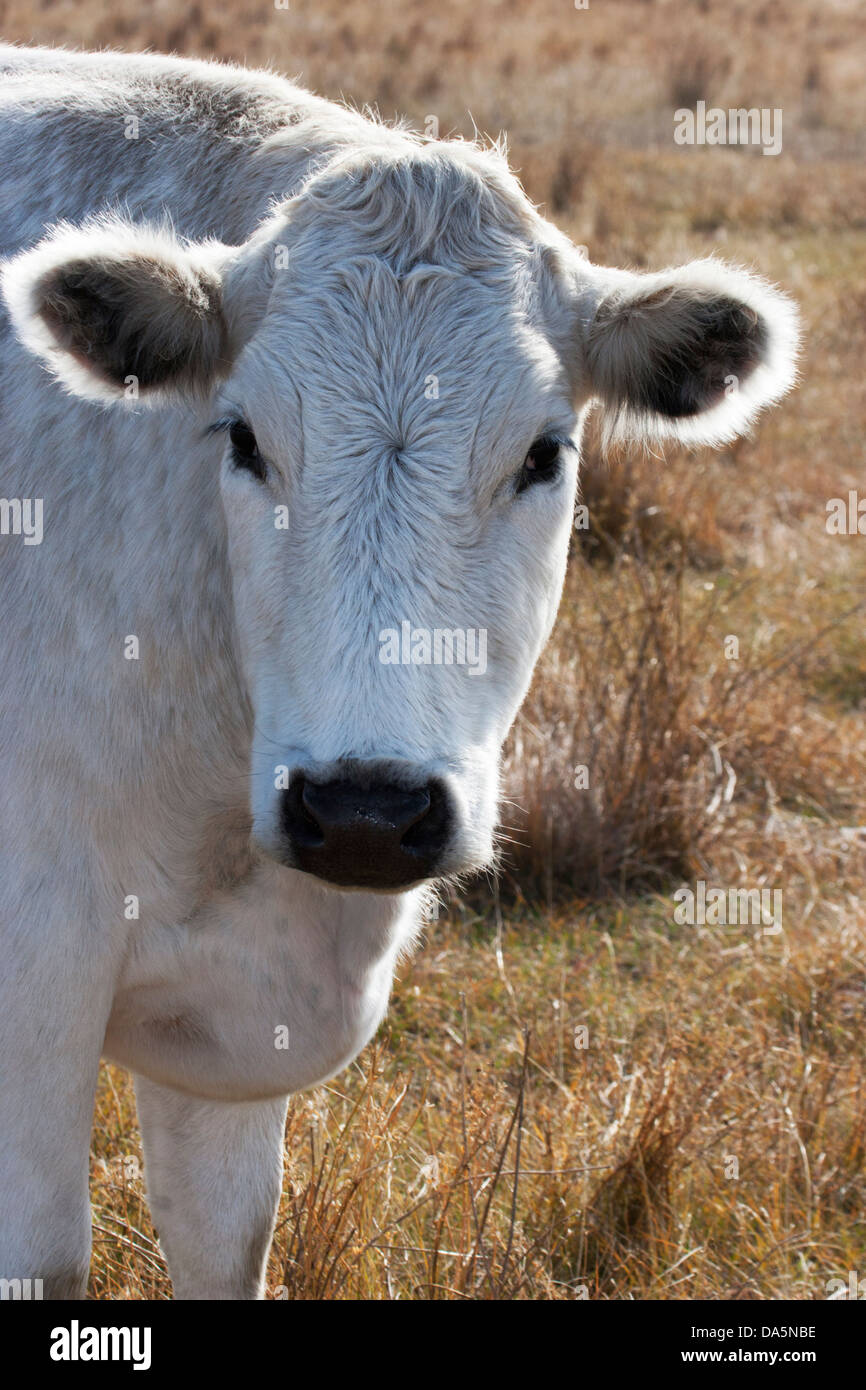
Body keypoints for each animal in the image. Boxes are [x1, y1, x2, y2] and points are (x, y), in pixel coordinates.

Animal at [0, 44, 799, 1300]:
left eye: (543, 453)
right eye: (242, 438)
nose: (364, 809)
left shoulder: (229, 1045)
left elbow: (227, 1243)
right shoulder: (34, 973)